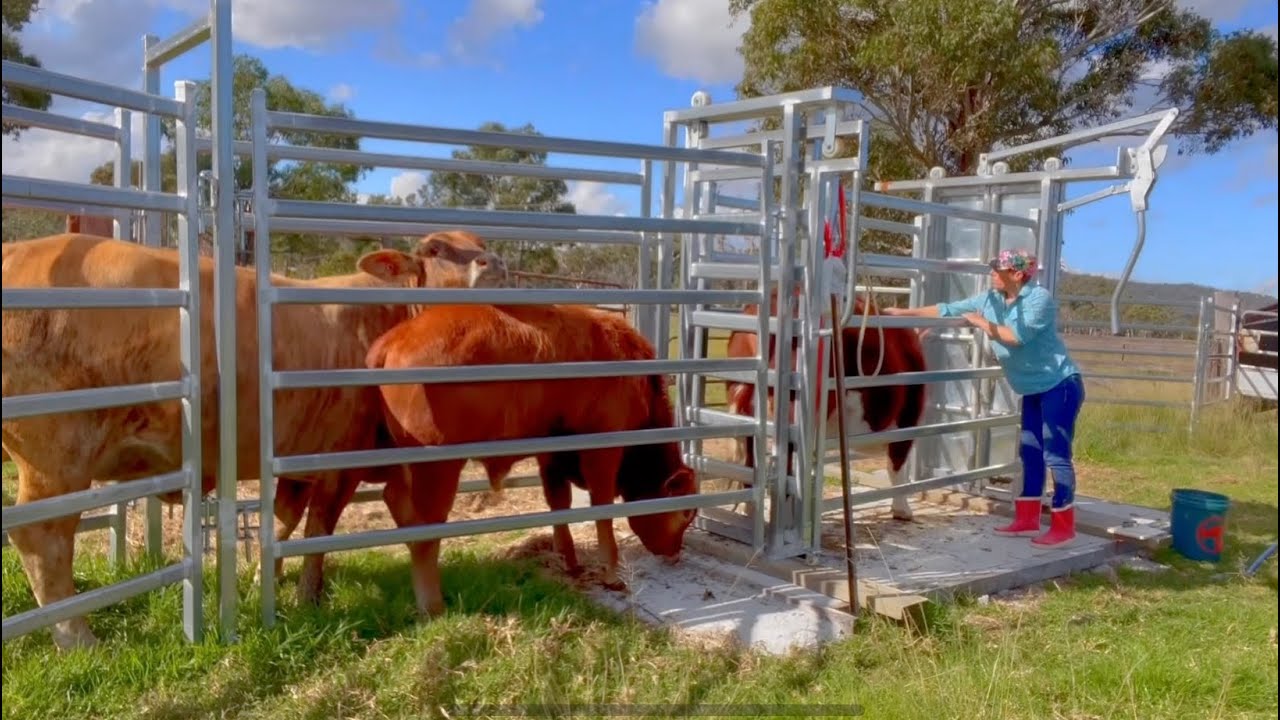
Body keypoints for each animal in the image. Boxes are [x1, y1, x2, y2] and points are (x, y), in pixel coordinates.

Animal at [1, 231, 506, 651]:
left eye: (481, 243)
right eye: (436, 249)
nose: (495, 262)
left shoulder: (296, 457)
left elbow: (281, 523)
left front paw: (268, 578)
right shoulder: (339, 458)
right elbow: (317, 531)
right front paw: (307, 596)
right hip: (57, 457)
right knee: (41, 538)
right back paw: (77, 637)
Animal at [364, 302, 699, 617]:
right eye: (685, 513)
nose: (675, 554)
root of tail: (400, 335)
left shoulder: (552, 456)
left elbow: (559, 503)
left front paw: (569, 560)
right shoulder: (602, 453)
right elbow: (602, 511)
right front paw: (611, 575)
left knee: (395, 498)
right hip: (437, 468)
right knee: (424, 530)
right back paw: (432, 605)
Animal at [724, 289, 927, 521]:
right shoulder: (908, 419)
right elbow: (897, 465)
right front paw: (902, 510)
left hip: (745, 402)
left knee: (750, 461)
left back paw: (749, 512)